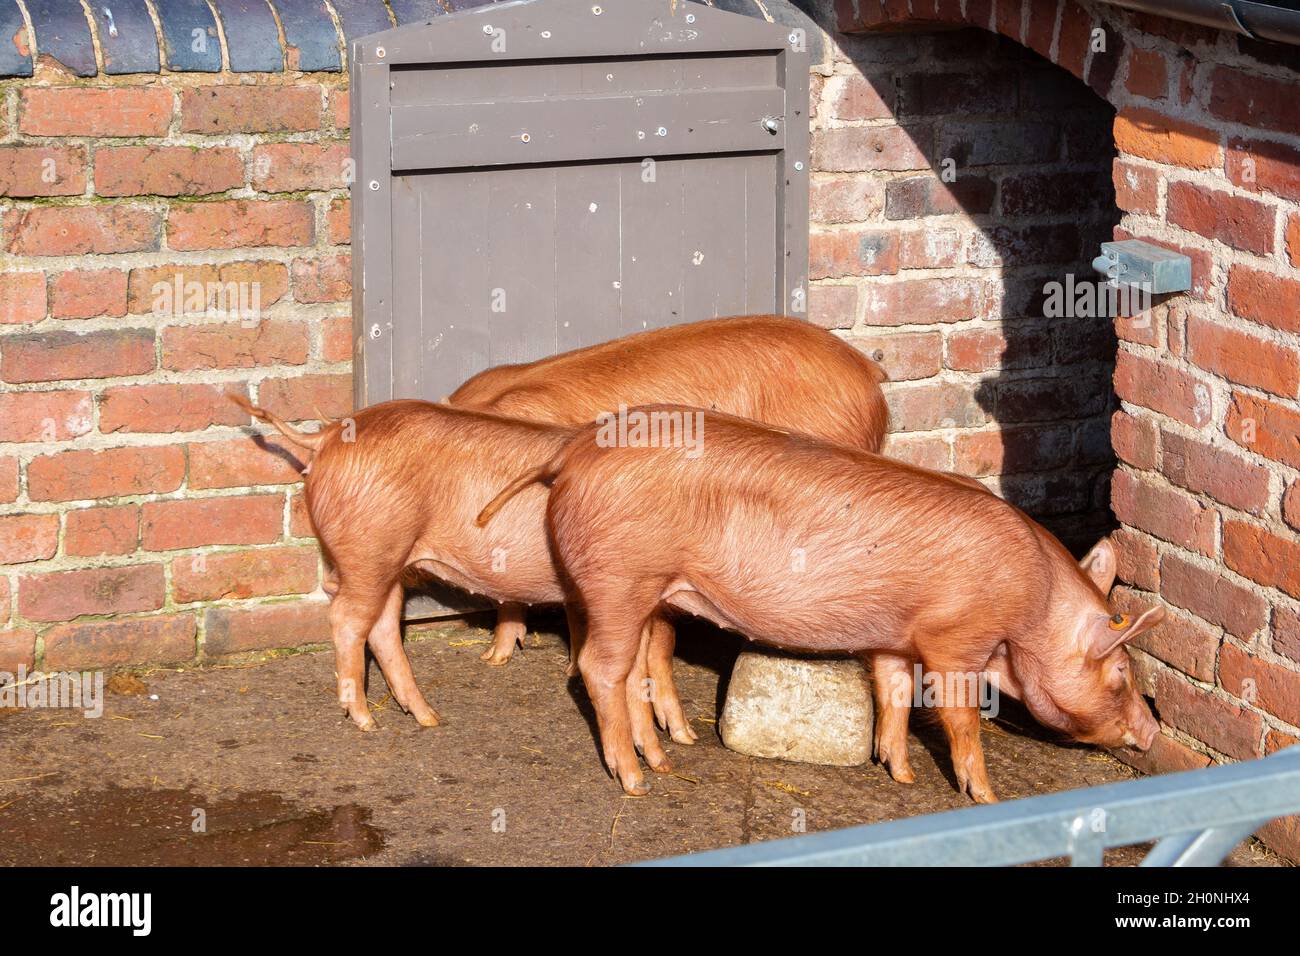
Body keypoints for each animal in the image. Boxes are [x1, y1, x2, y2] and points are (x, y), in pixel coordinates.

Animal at [476, 406, 1164, 801]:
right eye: (1120, 671)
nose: (1153, 730)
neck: (1033, 606)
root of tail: (573, 449)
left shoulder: (894, 637)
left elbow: (892, 693)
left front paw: (900, 773)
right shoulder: (955, 638)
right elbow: (960, 716)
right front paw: (985, 798)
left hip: (649, 589)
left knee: (640, 668)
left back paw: (667, 761)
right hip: (618, 578)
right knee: (600, 669)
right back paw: (638, 783)